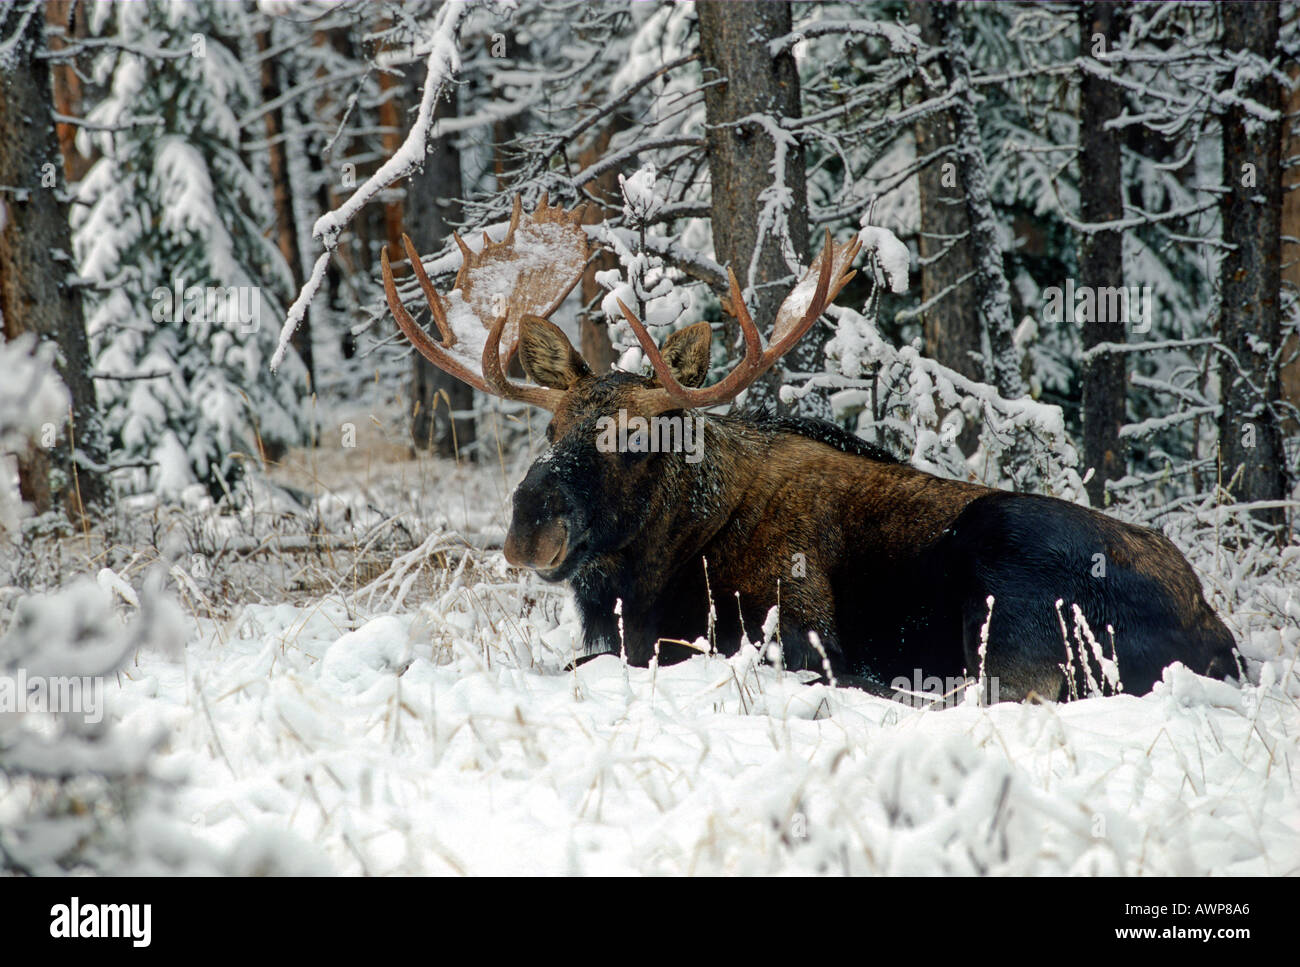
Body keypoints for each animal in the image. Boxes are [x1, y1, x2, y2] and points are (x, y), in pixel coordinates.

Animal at [381, 195, 1238, 702]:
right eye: (550, 429)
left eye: (639, 436)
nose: (530, 523)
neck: (657, 563)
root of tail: (1215, 630)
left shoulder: (792, 637)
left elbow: (591, 662)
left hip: (1011, 612)